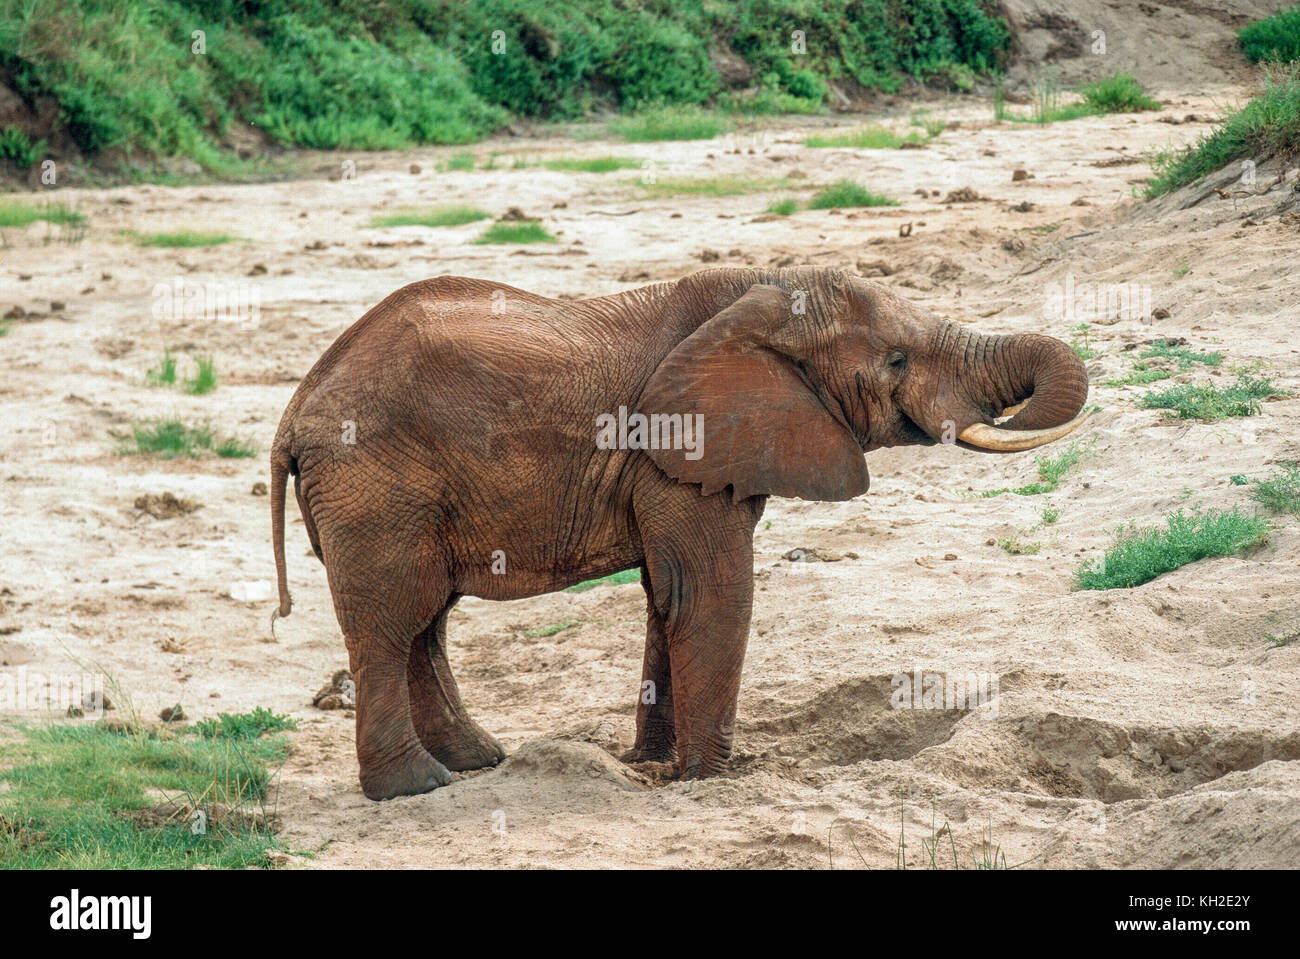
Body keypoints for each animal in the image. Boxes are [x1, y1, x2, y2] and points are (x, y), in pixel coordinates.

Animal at [270, 267, 1089, 800]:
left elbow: (666, 597)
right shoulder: (677, 447)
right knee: (392, 621)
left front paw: (649, 764)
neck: (760, 292)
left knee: (425, 622)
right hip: (376, 487)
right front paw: (710, 778)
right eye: (894, 359)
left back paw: (476, 764)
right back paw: (412, 788)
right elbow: (710, 591)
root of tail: (296, 409)